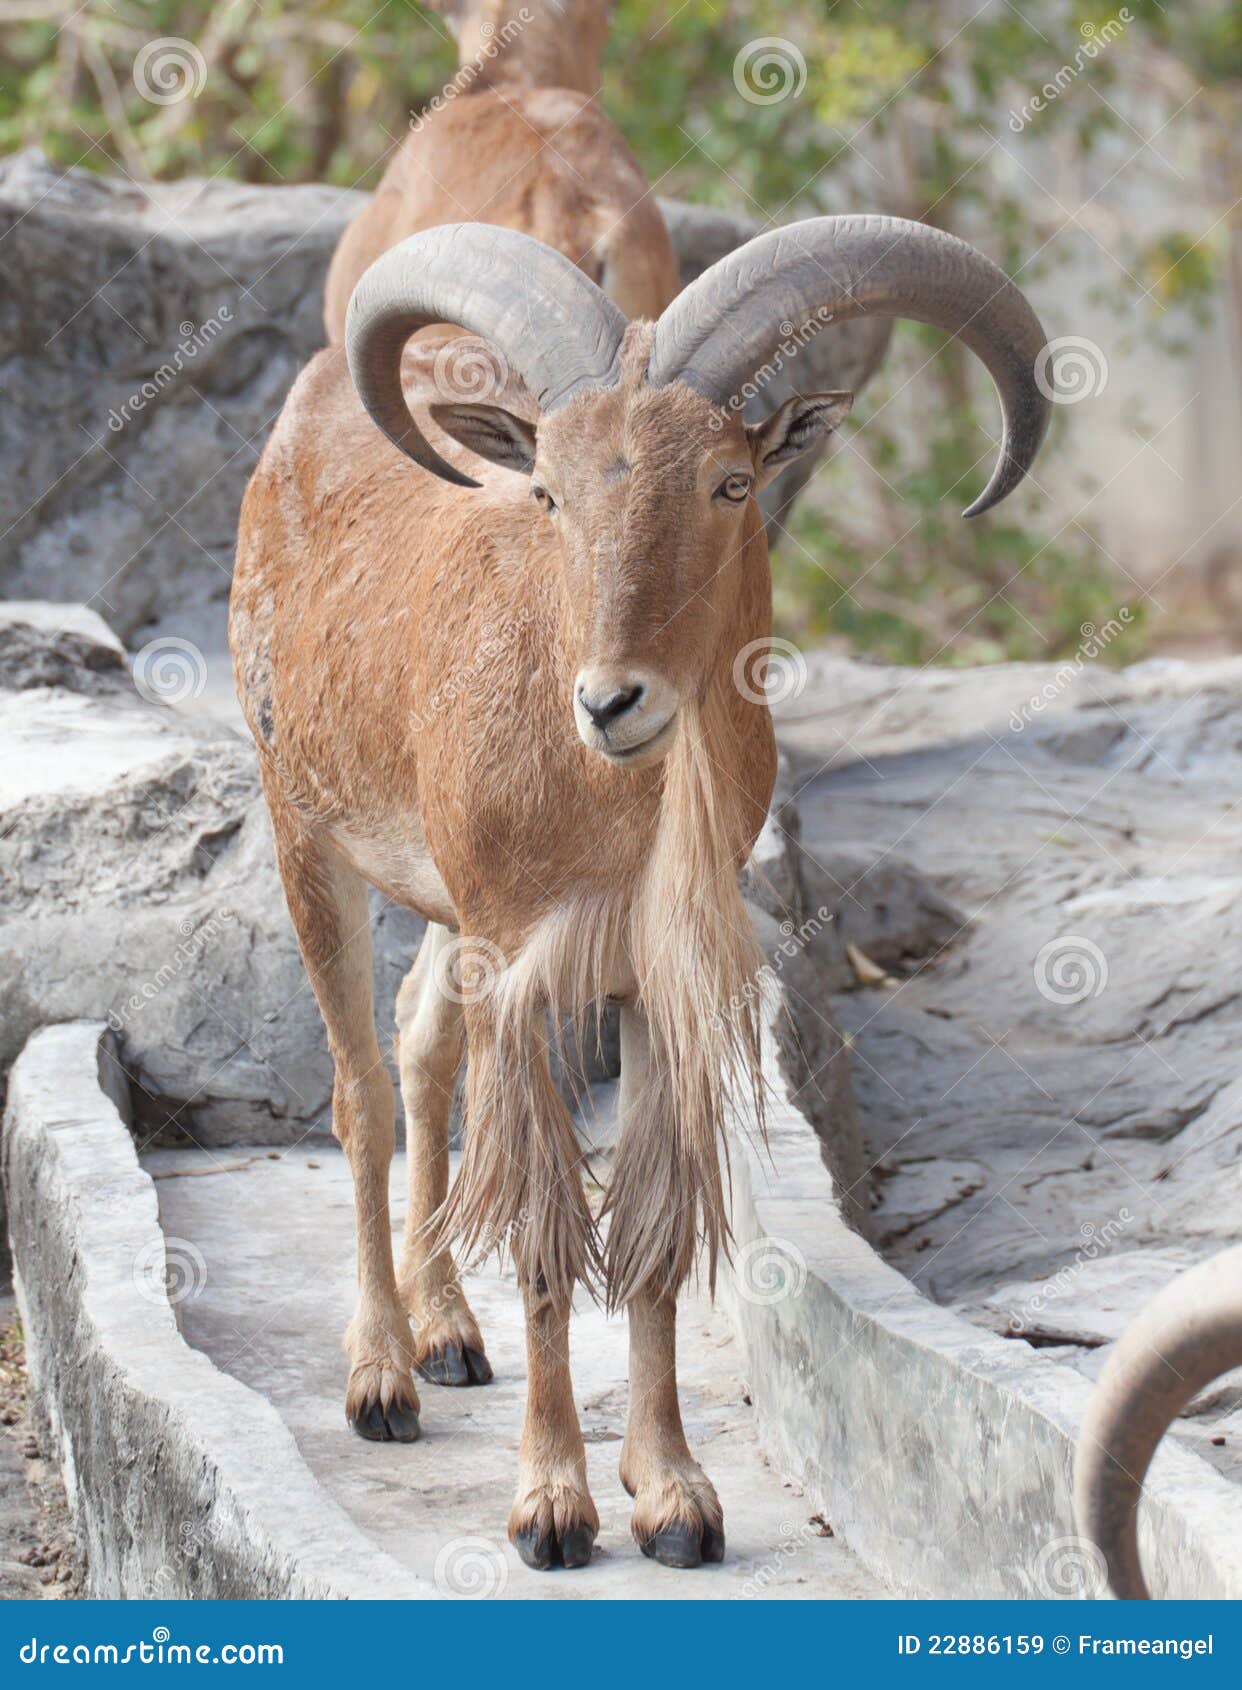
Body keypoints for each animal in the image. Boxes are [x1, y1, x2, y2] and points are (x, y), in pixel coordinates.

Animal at [230, 213, 1050, 1570]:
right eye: (550, 491)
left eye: (729, 483)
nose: (613, 701)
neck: (619, 807)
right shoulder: (523, 963)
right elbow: (547, 1238)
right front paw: (552, 1505)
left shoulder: (650, 977)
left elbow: (654, 1239)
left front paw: (672, 1495)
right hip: (308, 833)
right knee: (361, 1093)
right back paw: (382, 1373)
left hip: (443, 903)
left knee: (420, 1044)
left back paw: (445, 1331)